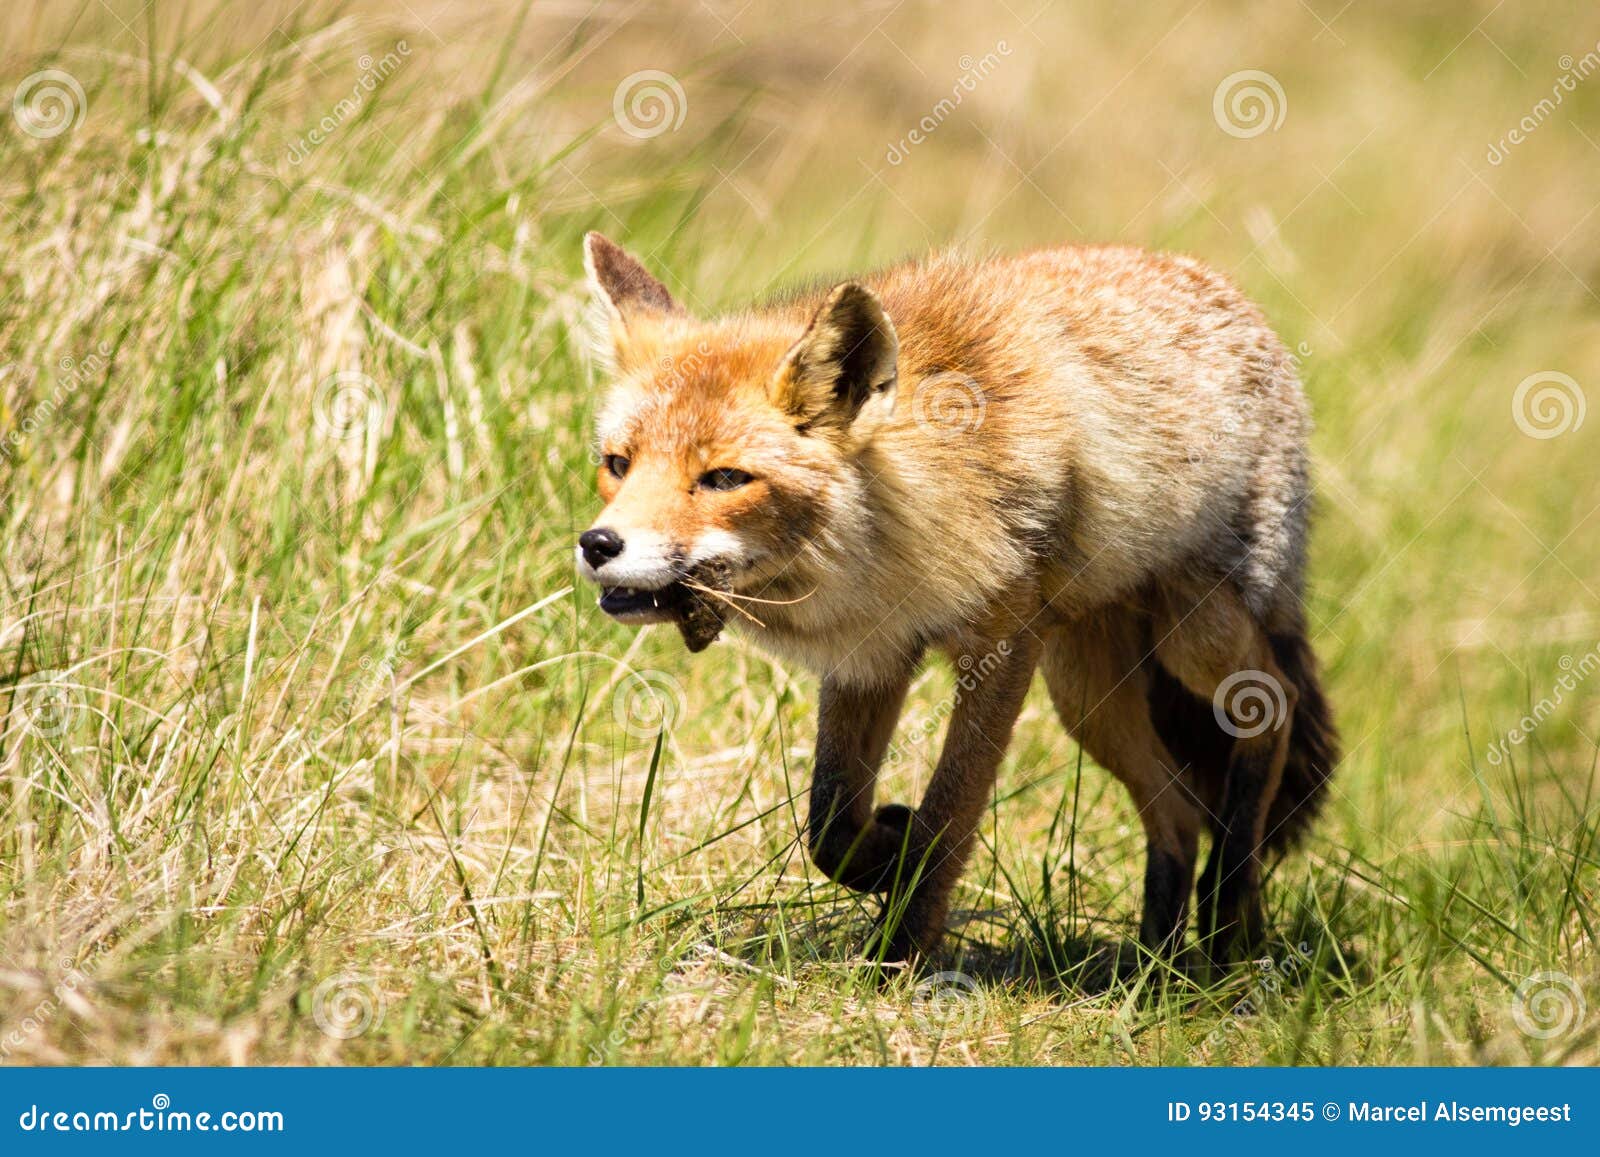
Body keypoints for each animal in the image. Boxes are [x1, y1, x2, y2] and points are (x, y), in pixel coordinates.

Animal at [576, 231, 1338, 969]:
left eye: (725, 477)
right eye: (618, 464)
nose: (598, 543)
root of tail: (1227, 292)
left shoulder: (1002, 645)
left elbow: (949, 813)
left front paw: (901, 954)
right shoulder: (870, 655)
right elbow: (829, 826)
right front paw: (884, 850)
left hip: (1191, 638)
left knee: (1273, 702)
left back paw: (1228, 911)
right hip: (1085, 696)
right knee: (1176, 816)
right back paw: (1159, 970)